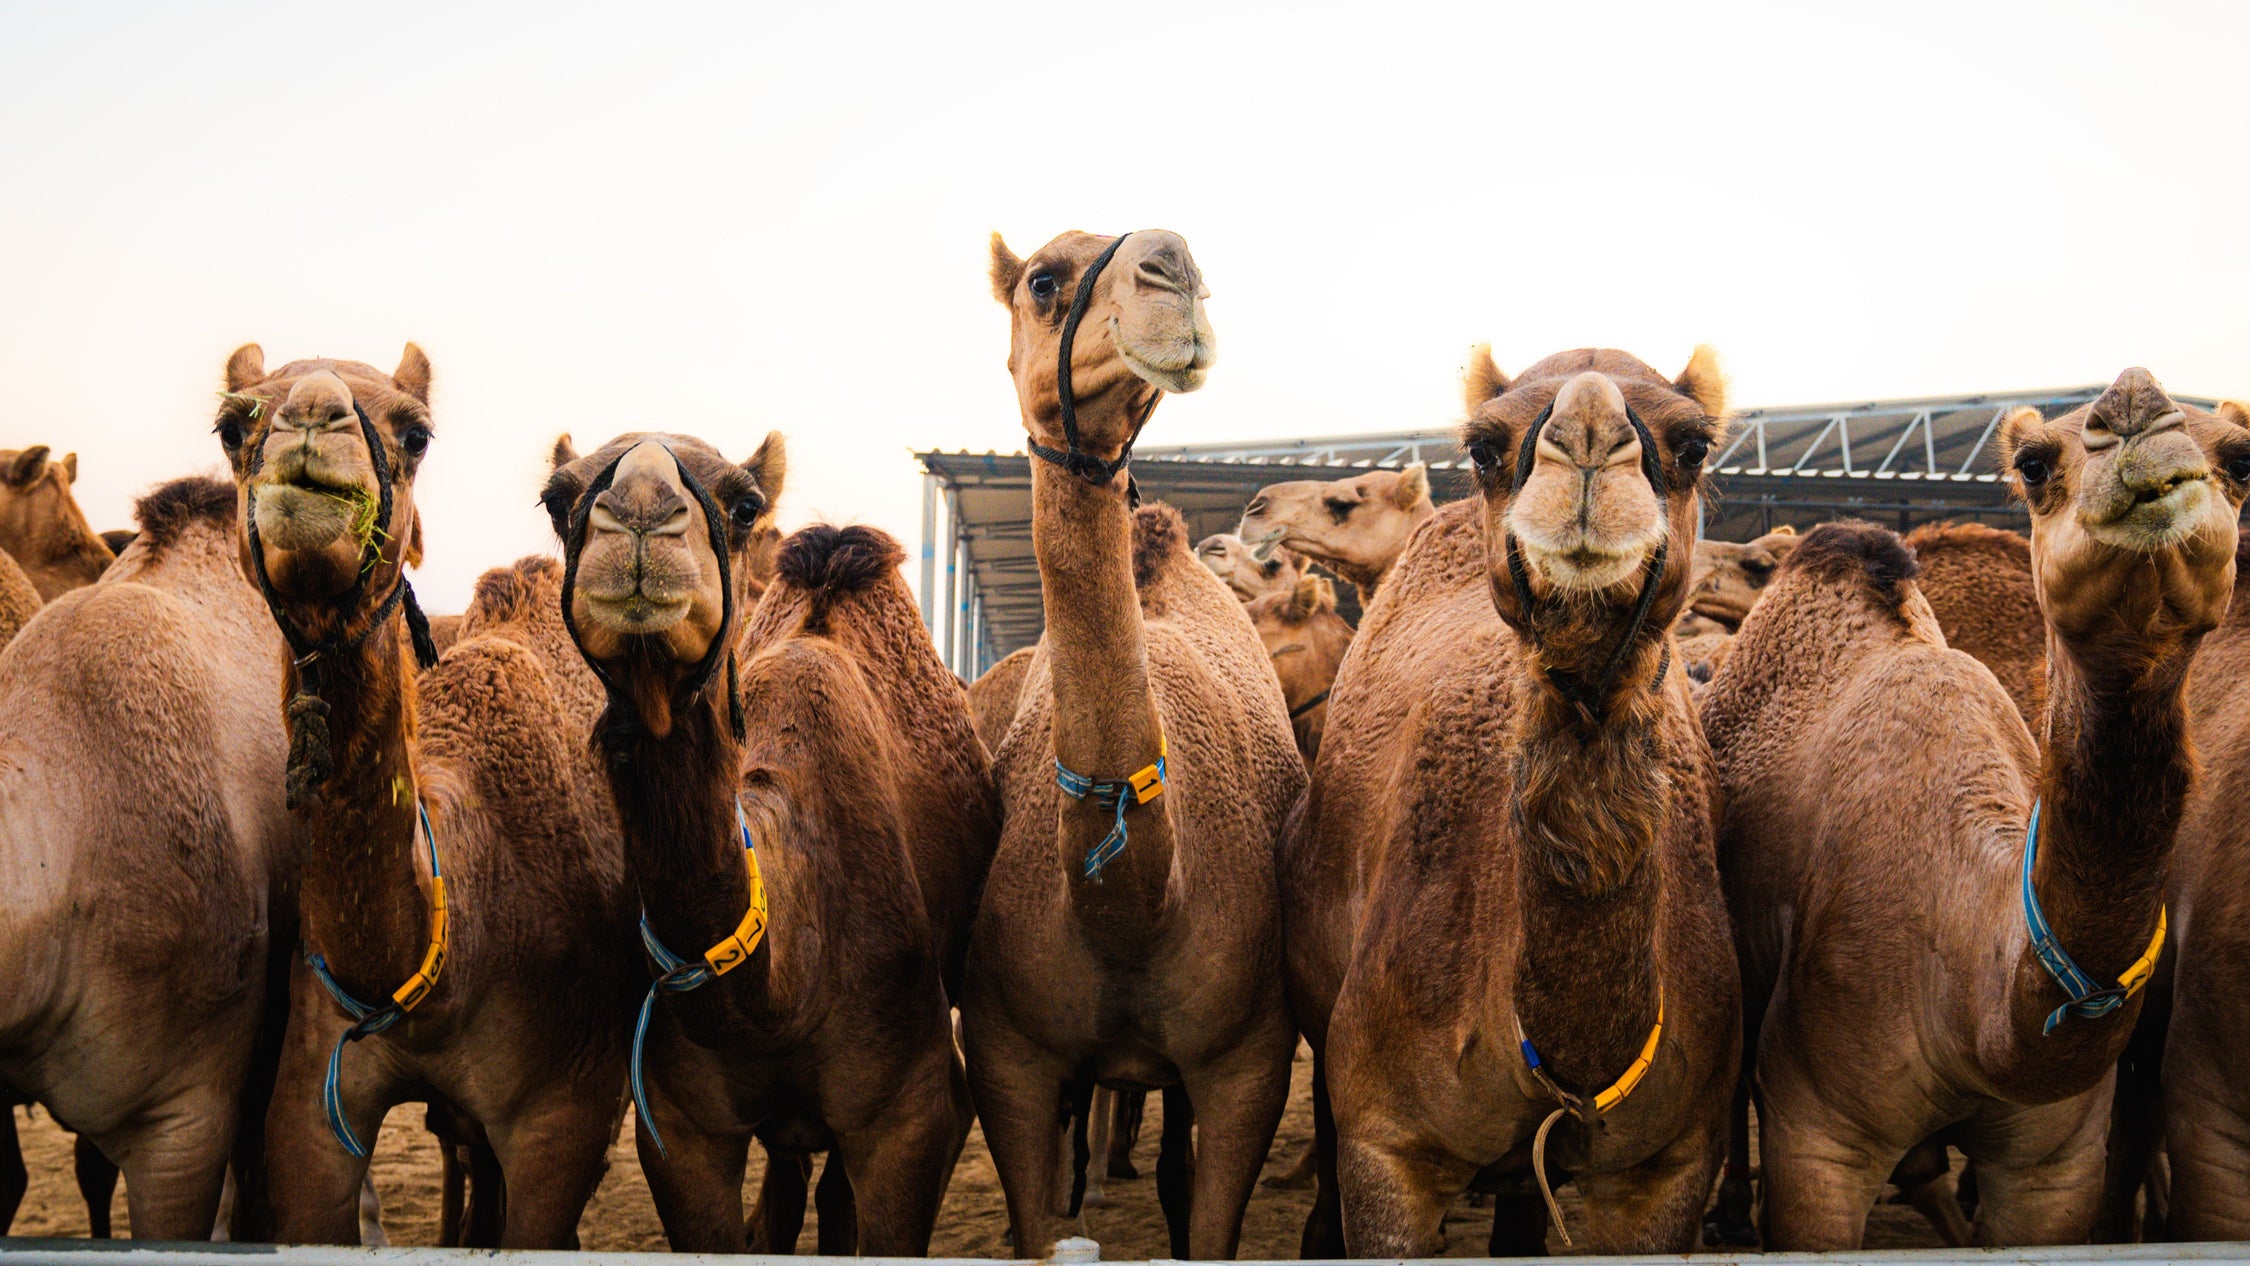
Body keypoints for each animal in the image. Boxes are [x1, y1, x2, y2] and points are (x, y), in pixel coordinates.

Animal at [545, 430, 989, 1253]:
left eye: (745, 503)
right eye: (558, 499)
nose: (641, 511)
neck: (779, 994)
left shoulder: (913, 1117)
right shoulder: (680, 1133)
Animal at [961, 228, 1301, 1260]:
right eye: (1041, 281)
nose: (1172, 268)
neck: (1133, 905)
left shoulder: (1249, 1060)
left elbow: (1209, 1214)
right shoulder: (1007, 1058)